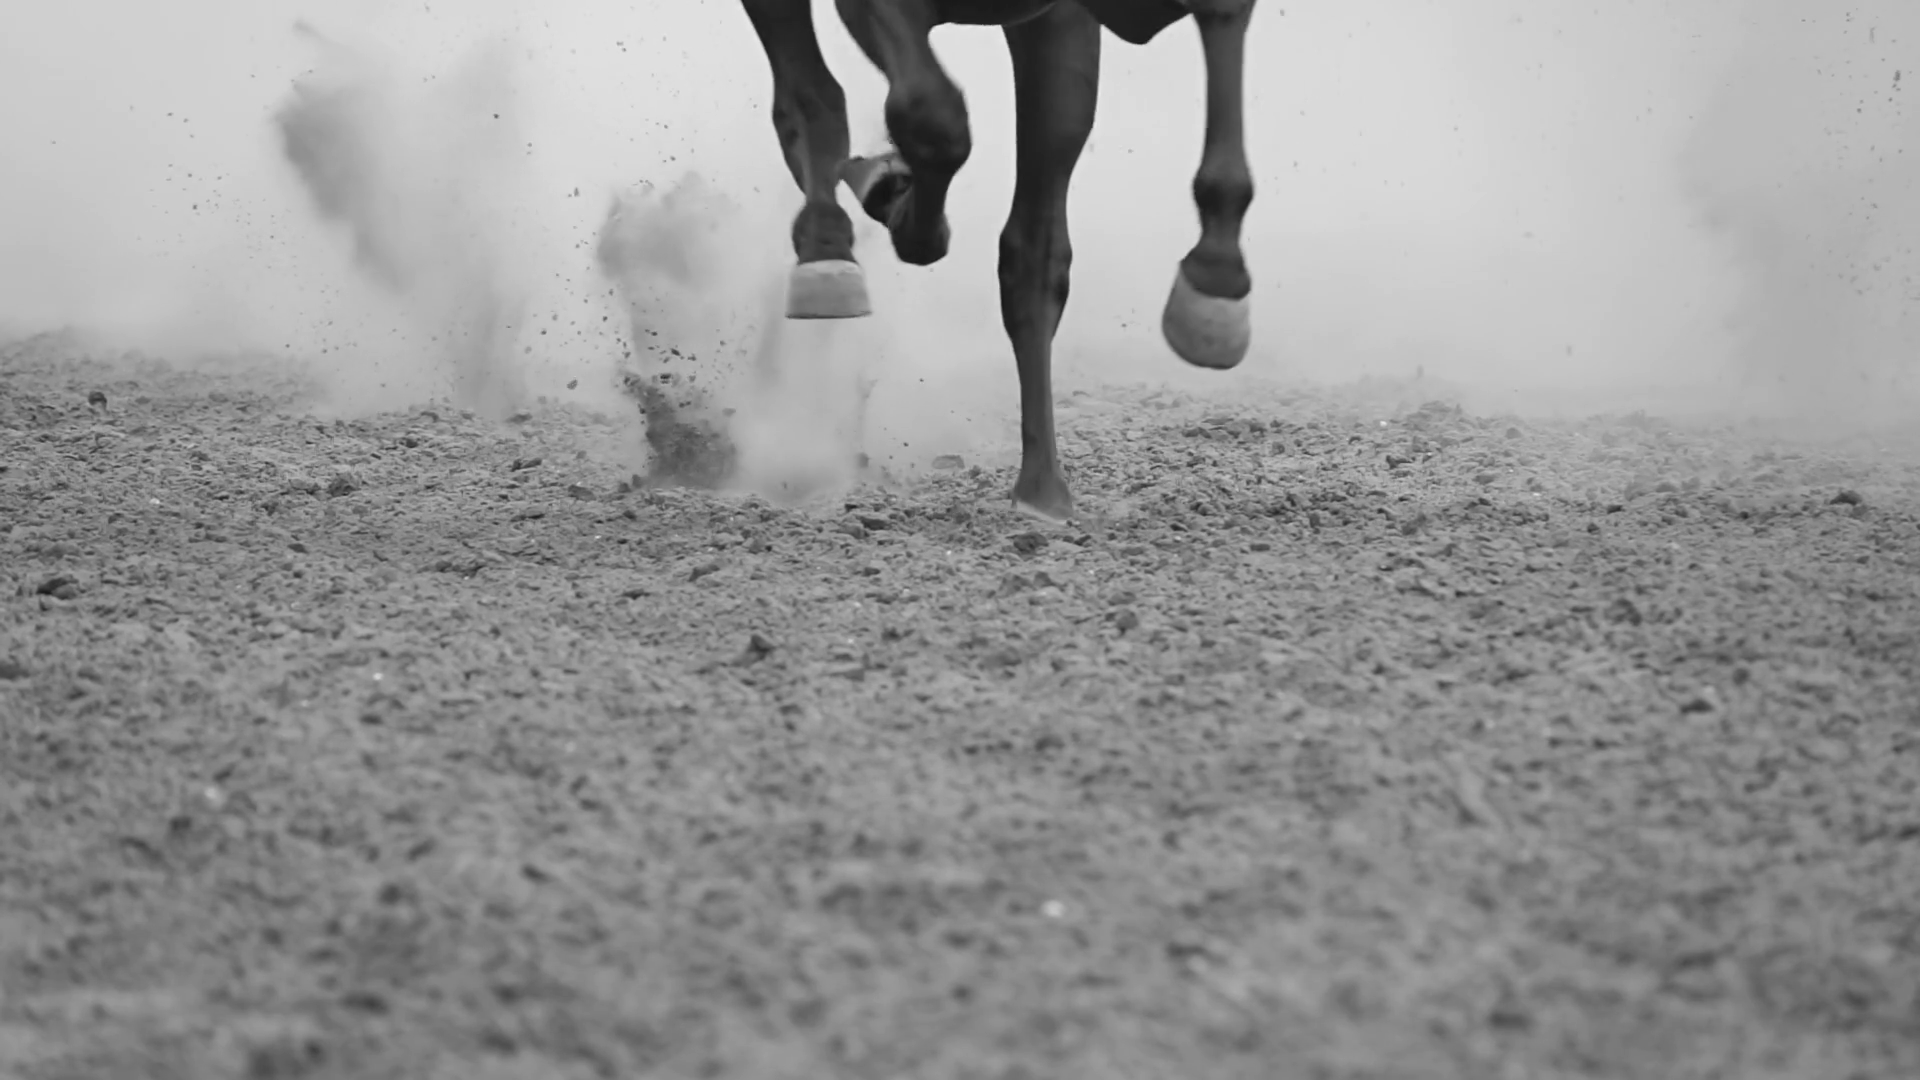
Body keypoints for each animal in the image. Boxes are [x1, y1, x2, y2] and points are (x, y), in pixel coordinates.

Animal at [739, 0, 1257, 522]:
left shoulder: (1058, 25)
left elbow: (1035, 249)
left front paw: (1042, 486)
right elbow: (932, 120)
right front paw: (885, 190)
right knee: (809, 95)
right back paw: (827, 253)